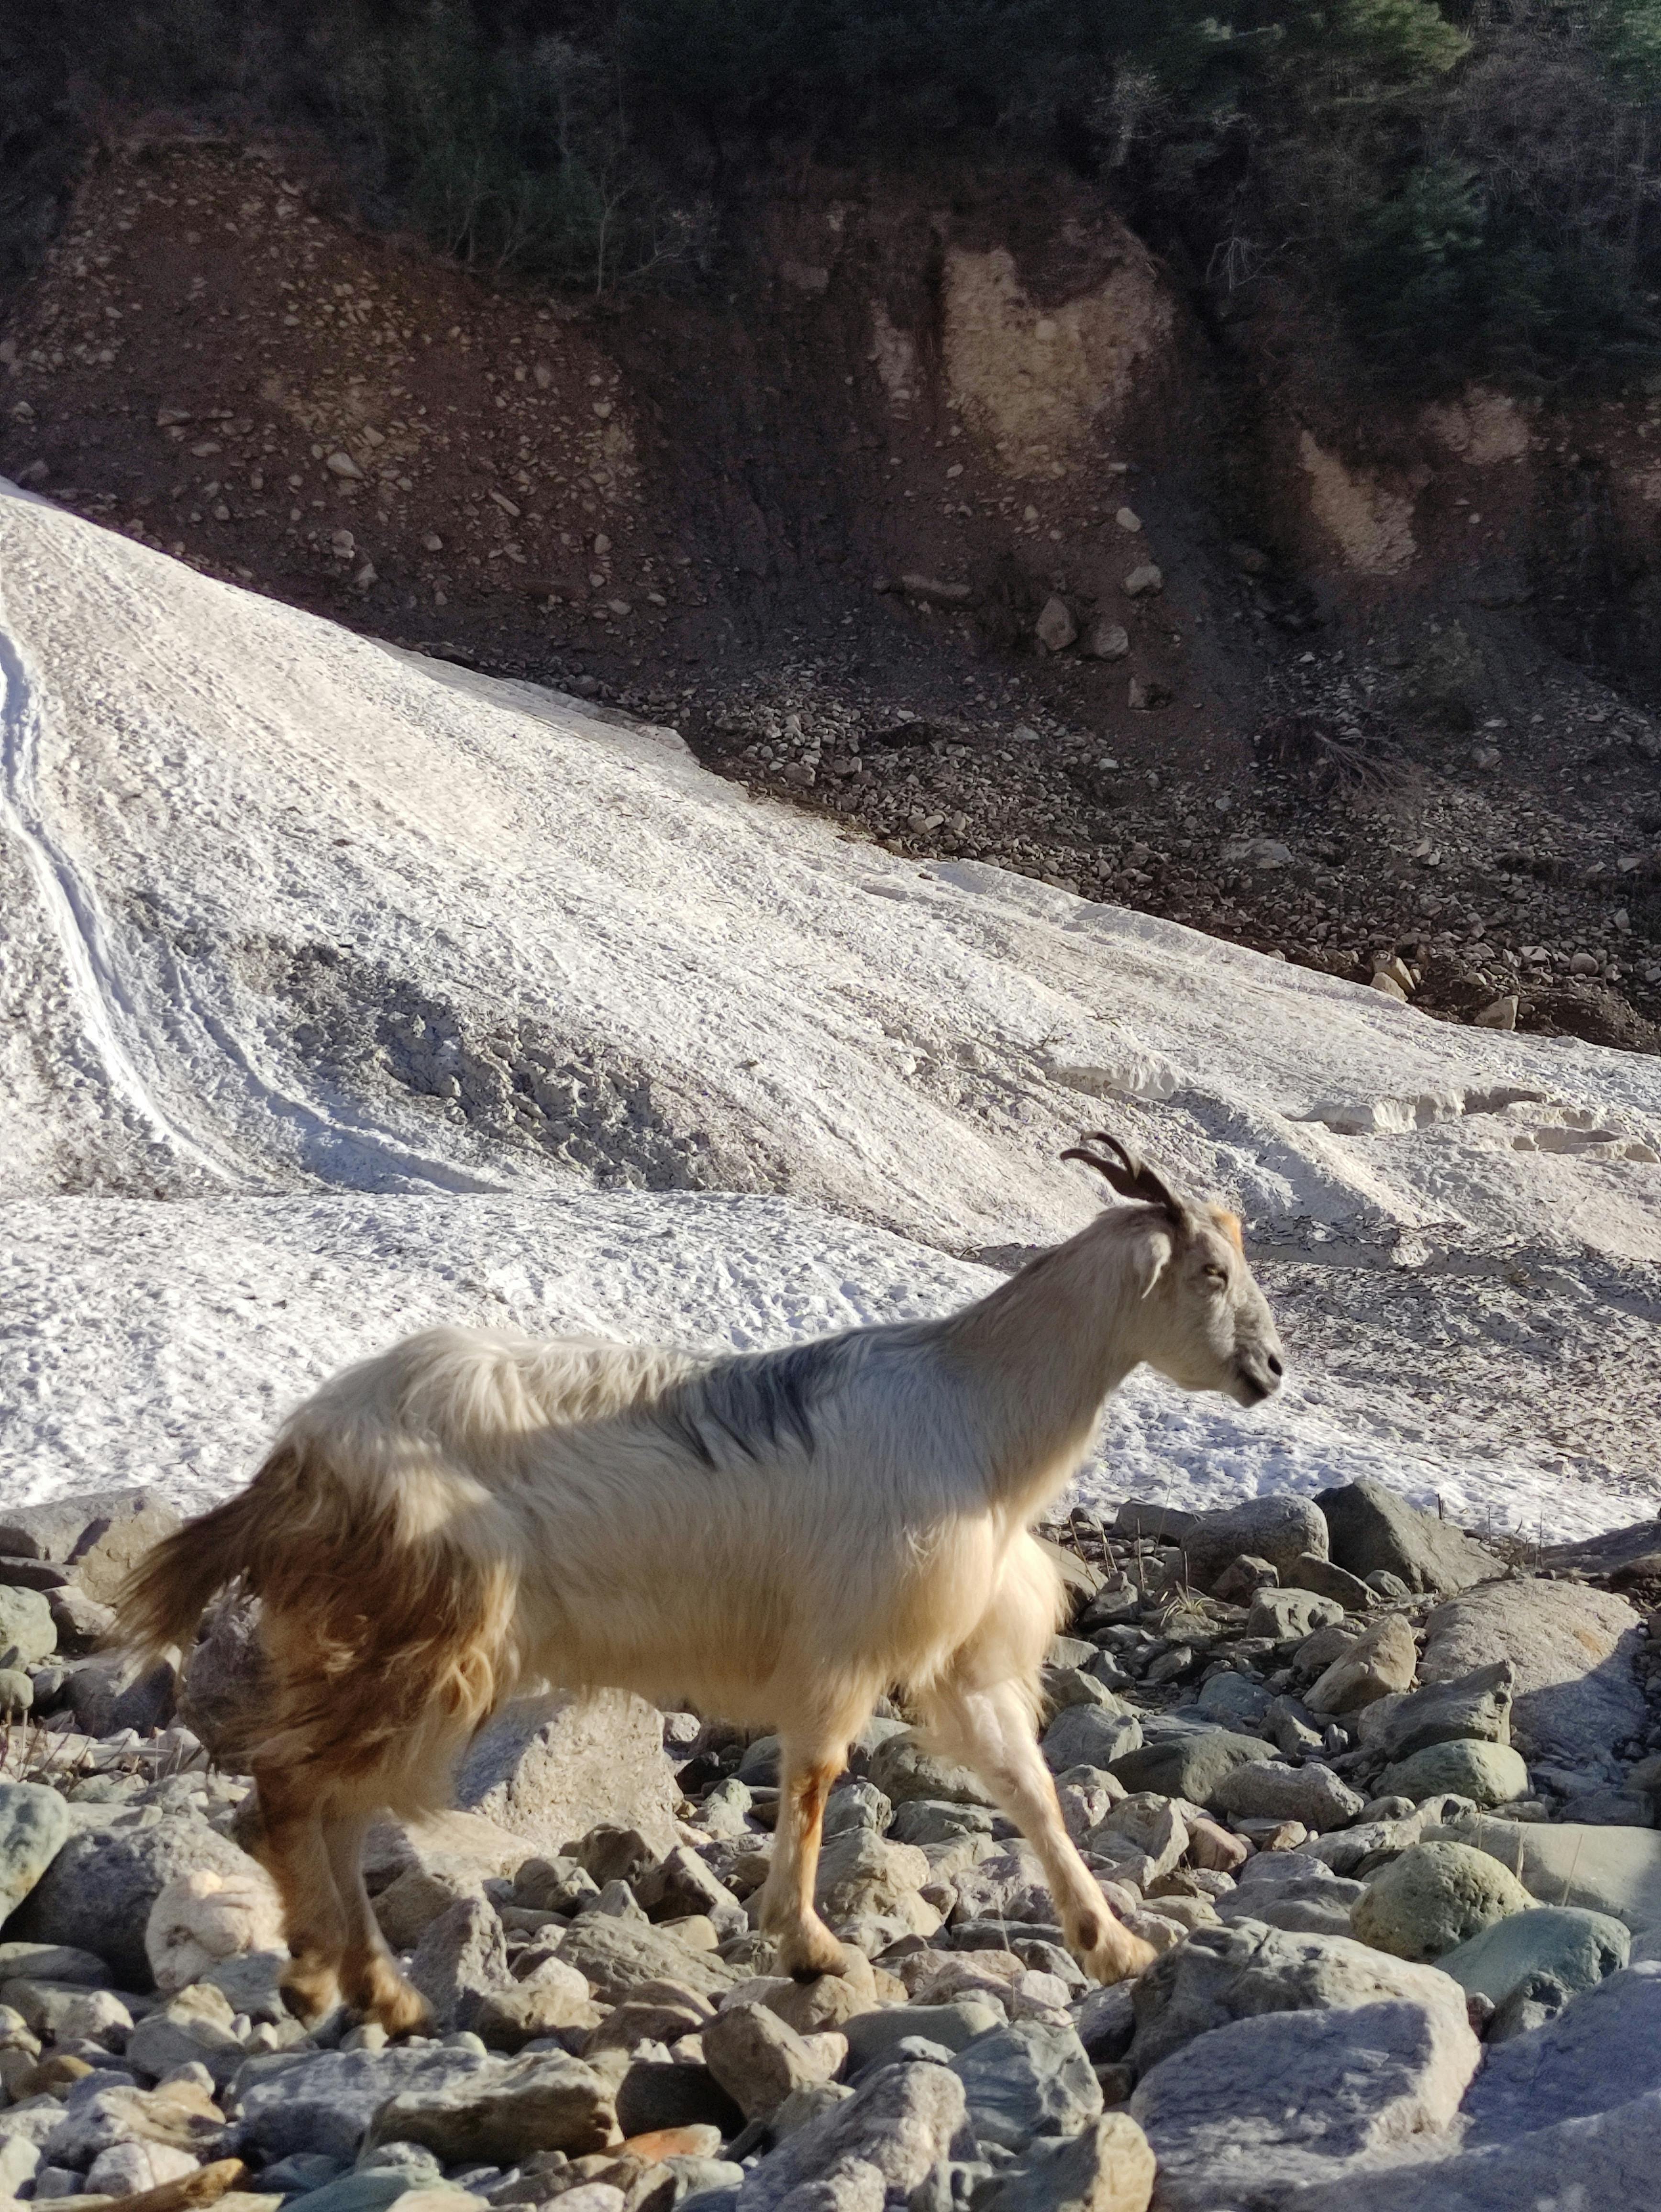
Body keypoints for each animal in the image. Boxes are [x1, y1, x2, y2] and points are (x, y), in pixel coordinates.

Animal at [115, 1132, 1285, 2032]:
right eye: (1208, 1273)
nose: (1271, 1373)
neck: (978, 1415)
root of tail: (300, 1457)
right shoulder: (844, 1643)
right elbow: (813, 1783)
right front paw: (810, 1944)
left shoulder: (958, 1657)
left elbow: (1029, 1787)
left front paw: (1115, 1945)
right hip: (428, 1638)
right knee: (295, 1790)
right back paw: (342, 1978)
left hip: (383, 1649)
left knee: (331, 1804)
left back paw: (364, 1986)